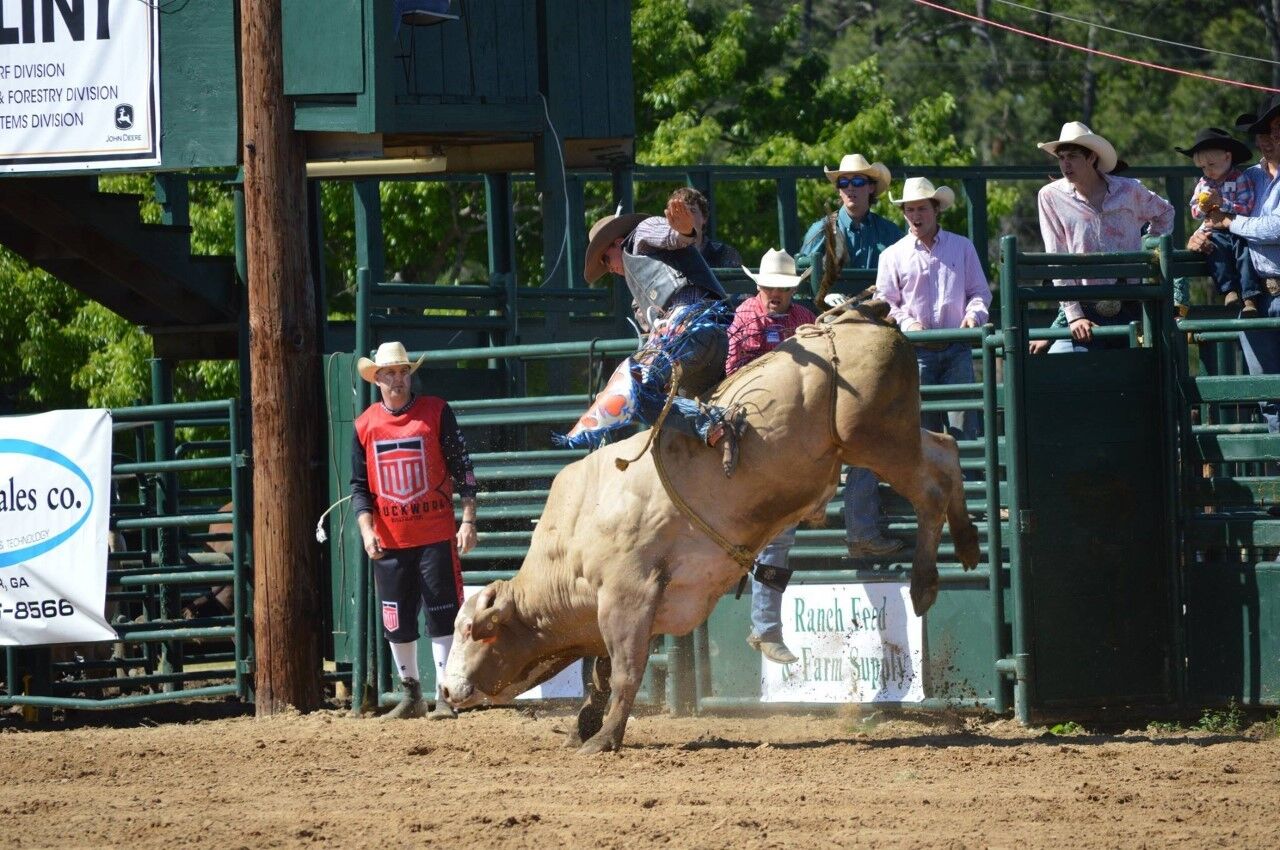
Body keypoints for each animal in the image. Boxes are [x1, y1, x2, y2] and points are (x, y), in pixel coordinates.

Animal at [442, 306, 981, 753]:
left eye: (470, 630)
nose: (445, 689)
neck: (574, 539)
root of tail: (861, 318)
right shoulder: (616, 608)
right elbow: (599, 673)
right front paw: (584, 726)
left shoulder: (628, 595)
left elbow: (624, 673)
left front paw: (603, 740)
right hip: (893, 435)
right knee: (946, 449)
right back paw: (970, 543)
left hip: (873, 439)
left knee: (930, 488)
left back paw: (926, 582)